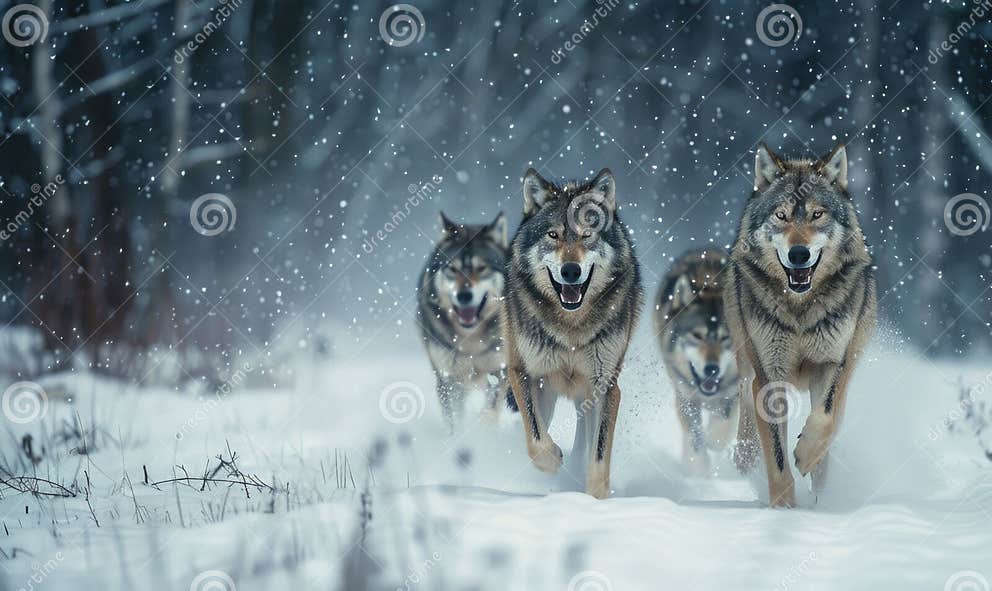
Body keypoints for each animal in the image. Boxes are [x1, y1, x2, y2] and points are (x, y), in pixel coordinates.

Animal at [417, 212, 509, 431]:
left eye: (481, 268)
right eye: (452, 269)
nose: (464, 296)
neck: (471, 341)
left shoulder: (498, 372)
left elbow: (489, 412)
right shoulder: (448, 378)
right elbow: (455, 421)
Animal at [502, 168, 642, 499]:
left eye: (587, 235)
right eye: (552, 235)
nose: (570, 271)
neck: (571, 328)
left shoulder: (606, 386)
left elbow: (599, 457)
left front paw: (595, 499)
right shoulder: (524, 373)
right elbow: (537, 439)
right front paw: (553, 459)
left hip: (585, 395)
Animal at [653, 248, 739, 476]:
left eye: (726, 338)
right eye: (697, 336)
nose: (712, 369)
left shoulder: (735, 392)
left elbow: (721, 429)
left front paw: (713, 440)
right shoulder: (685, 397)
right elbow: (695, 438)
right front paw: (699, 471)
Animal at [725, 143, 877, 507]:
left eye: (817, 215)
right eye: (780, 216)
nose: (798, 254)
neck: (801, 312)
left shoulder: (833, 364)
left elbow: (826, 418)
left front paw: (807, 457)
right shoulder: (769, 376)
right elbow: (777, 459)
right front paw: (785, 509)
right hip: (746, 364)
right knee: (747, 413)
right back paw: (744, 460)